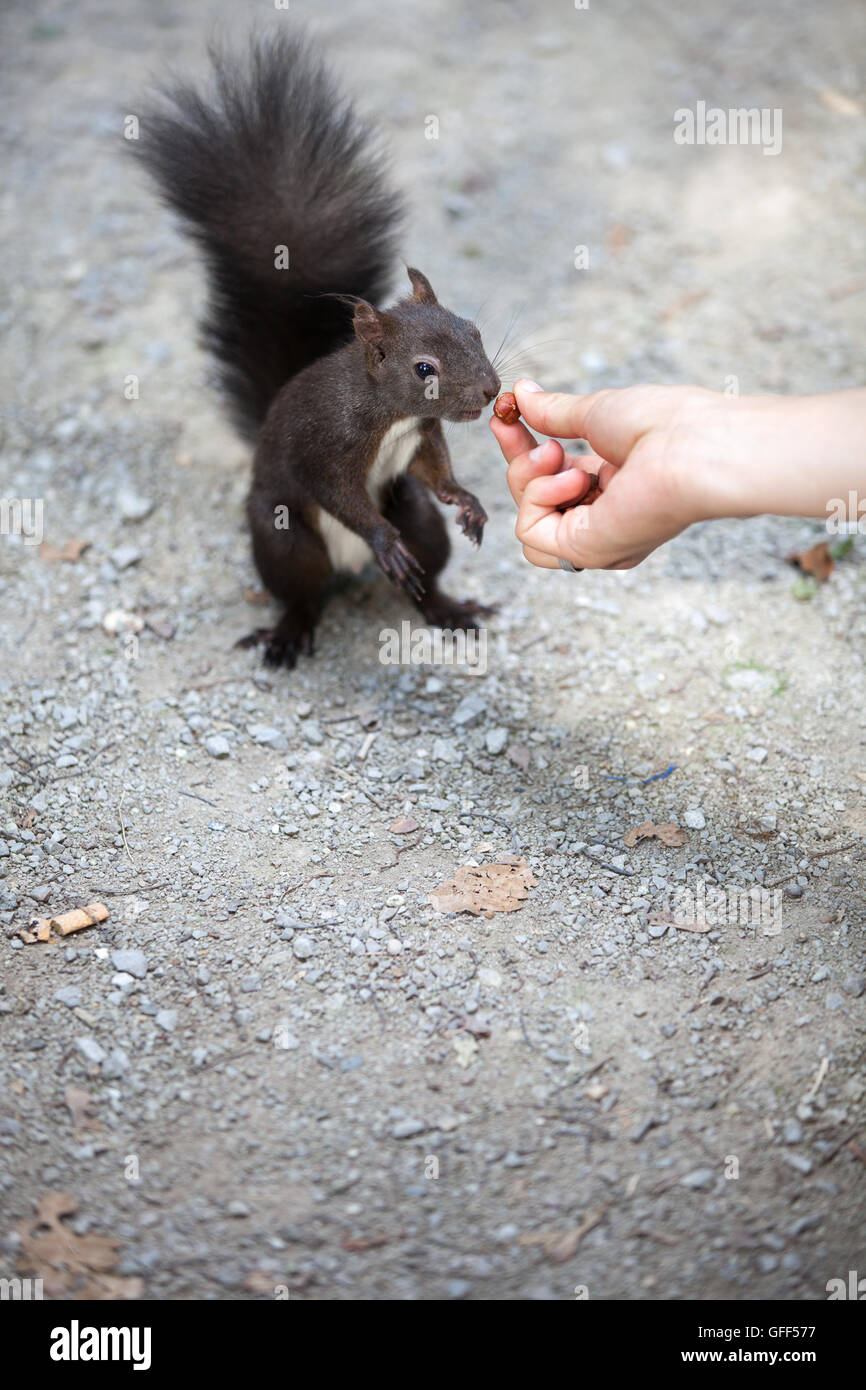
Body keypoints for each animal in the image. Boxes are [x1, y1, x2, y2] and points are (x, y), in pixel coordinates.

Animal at [134, 32, 500, 668]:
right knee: (301, 595)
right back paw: (289, 632)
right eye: (423, 368)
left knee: (425, 574)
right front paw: (383, 537)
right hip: (284, 539)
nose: (491, 389)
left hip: (417, 518)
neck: (392, 414)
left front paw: (465, 496)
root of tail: (350, 567)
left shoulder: (422, 436)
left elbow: (434, 470)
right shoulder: (326, 442)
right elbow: (336, 491)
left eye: (472, 329)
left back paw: (450, 608)